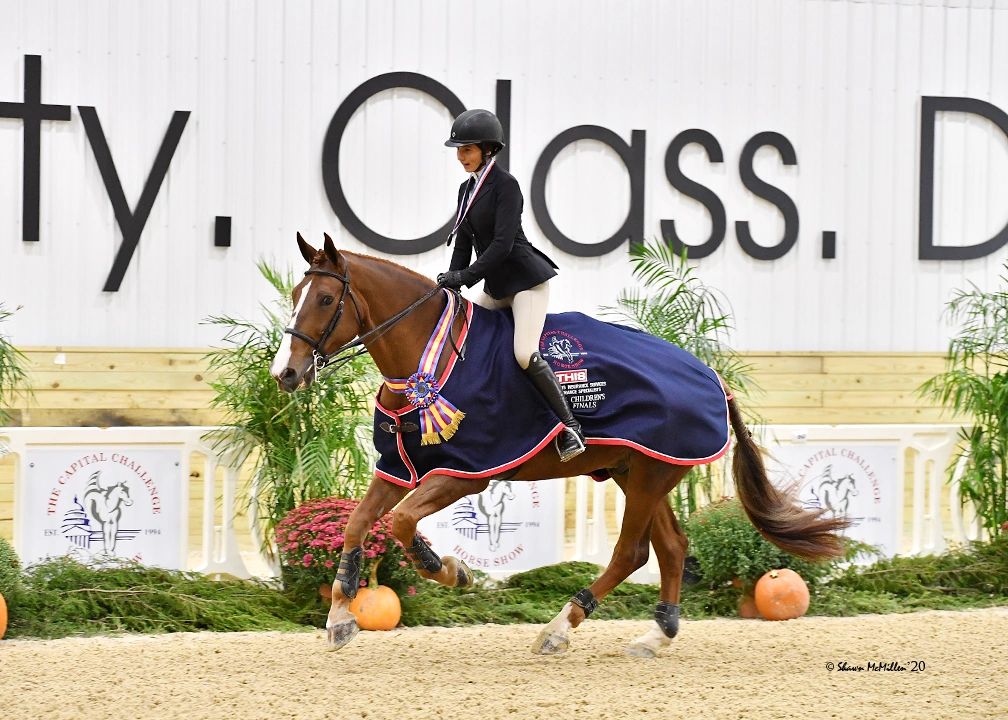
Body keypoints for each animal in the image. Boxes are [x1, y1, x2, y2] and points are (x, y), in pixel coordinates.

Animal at [270, 233, 849, 657]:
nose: (285, 375)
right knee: (671, 547)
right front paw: (340, 618)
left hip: (649, 477)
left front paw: (450, 570)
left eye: (326, 299)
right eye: (295, 297)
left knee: (632, 551)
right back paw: (656, 635)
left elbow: (401, 521)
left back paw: (559, 628)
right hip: (640, 471)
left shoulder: (466, 471)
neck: (424, 364)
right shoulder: (398, 466)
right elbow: (357, 523)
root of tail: (711, 375)